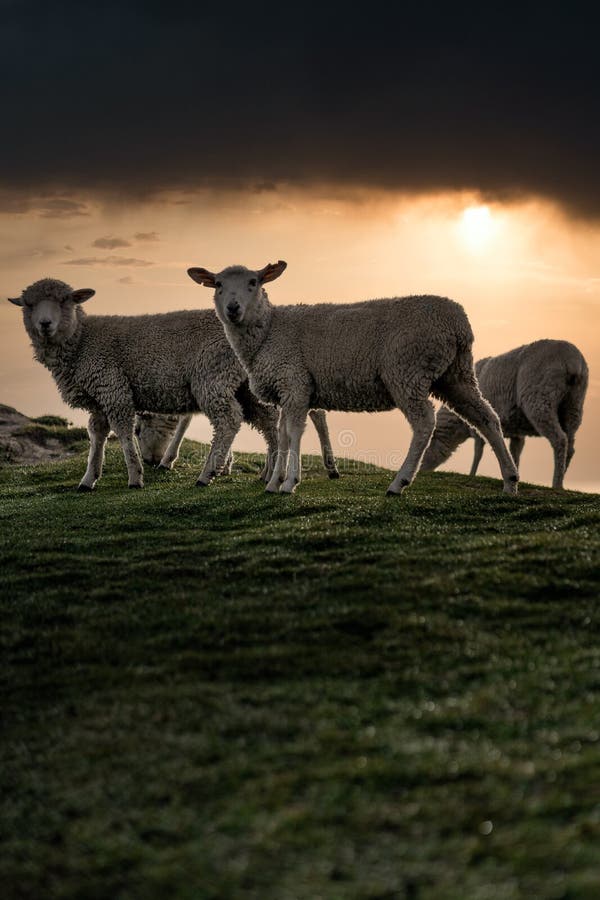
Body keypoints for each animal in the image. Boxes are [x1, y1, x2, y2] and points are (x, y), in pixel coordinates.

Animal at [8, 278, 284, 490]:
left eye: (66, 301)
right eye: (28, 304)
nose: (44, 324)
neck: (82, 341)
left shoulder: (113, 388)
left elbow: (122, 432)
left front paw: (135, 477)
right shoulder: (98, 398)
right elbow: (96, 436)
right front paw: (88, 479)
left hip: (213, 376)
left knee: (229, 420)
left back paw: (207, 475)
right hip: (245, 386)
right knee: (268, 420)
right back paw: (269, 473)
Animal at [186, 261, 519, 497]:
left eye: (253, 282)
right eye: (218, 284)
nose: (233, 308)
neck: (268, 331)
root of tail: (457, 322)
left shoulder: (295, 383)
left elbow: (293, 433)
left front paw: (289, 482)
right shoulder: (286, 391)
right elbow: (282, 434)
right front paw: (274, 483)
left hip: (406, 371)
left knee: (425, 423)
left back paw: (399, 483)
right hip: (455, 374)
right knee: (486, 417)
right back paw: (510, 480)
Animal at [420, 340, 588, 489]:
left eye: (426, 449)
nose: (420, 471)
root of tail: (572, 362)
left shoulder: (477, 429)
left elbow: (478, 452)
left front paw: (471, 474)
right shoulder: (517, 433)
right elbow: (515, 453)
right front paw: (515, 475)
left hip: (540, 399)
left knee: (560, 440)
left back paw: (556, 484)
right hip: (574, 405)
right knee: (570, 445)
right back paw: (562, 478)